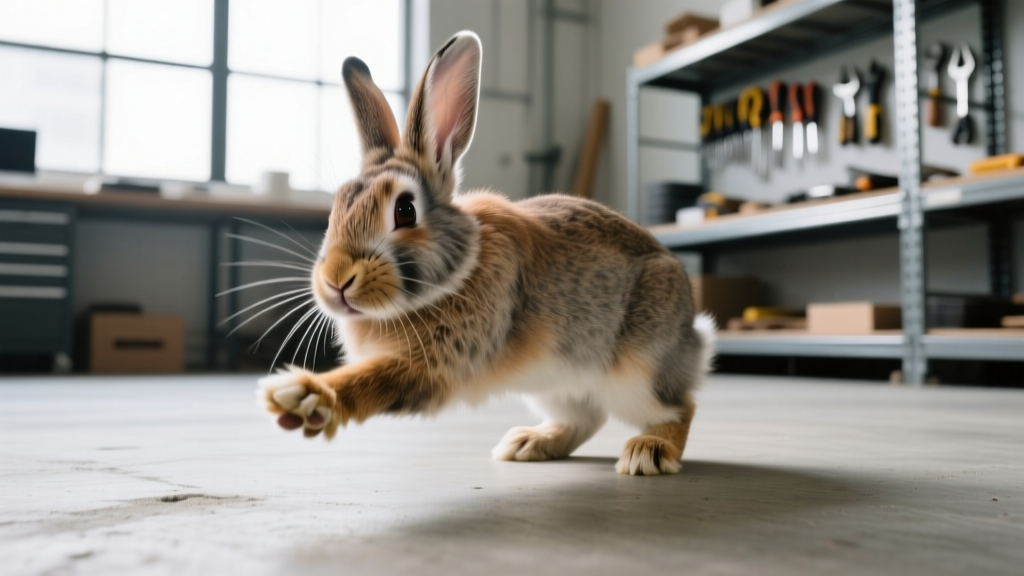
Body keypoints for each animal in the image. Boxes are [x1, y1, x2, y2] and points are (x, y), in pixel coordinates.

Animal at [258, 30, 716, 476]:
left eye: (405, 210)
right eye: (335, 208)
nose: (336, 280)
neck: (458, 272)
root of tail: (694, 335)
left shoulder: (434, 364)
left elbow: (373, 381)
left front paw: (303, 396)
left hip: (640, 368)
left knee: (680, 407)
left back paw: (648, 452)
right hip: (557, 387)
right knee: (586, 418)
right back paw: (529, 443)